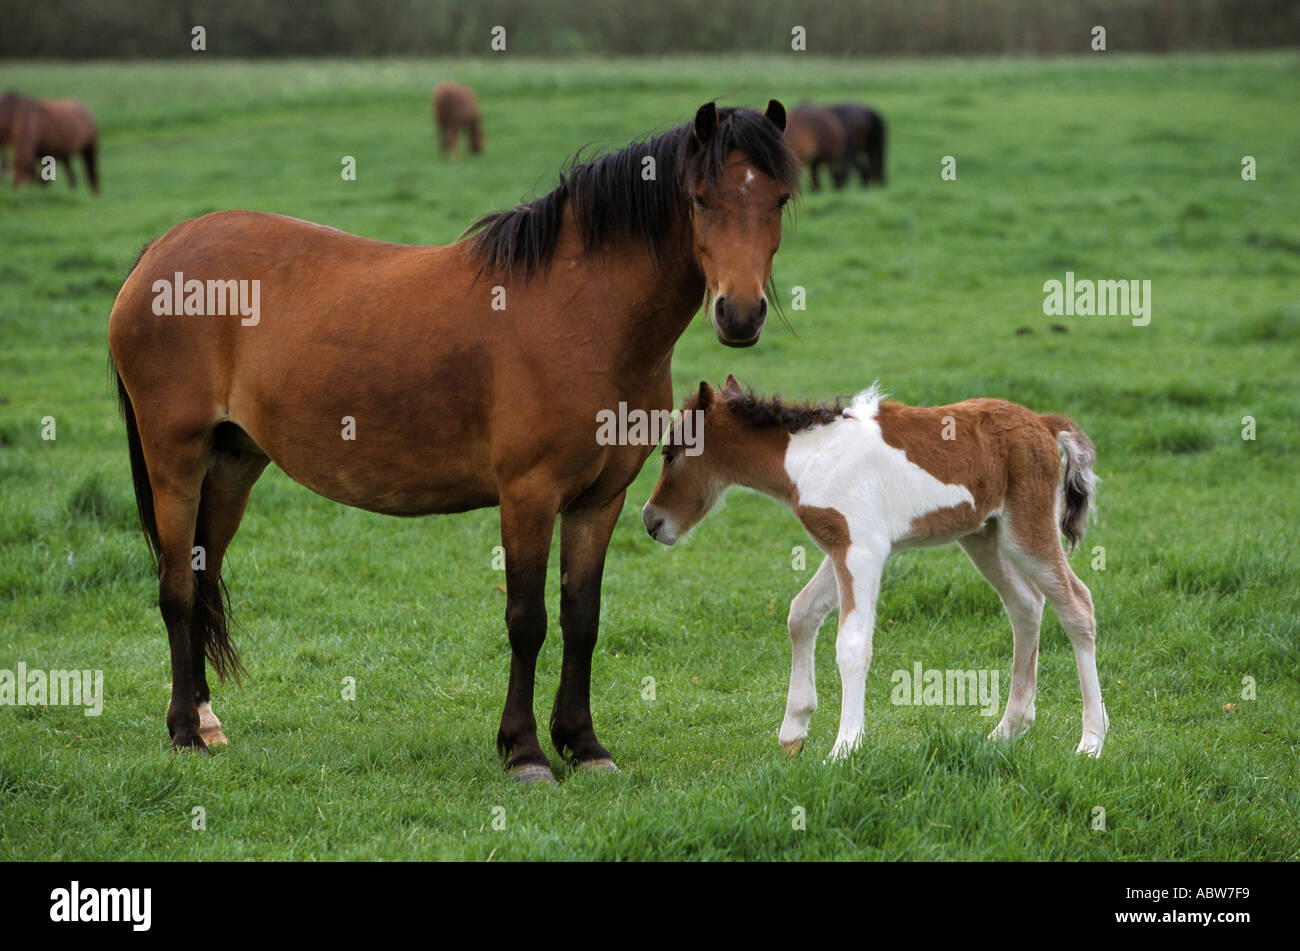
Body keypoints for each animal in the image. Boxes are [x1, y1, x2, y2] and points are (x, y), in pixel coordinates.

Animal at [108, 100, 799, 785]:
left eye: (781, 199)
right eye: (701, 199)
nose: (740, 314)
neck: (583, 314)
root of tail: (158, 253)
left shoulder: (599, 500)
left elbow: (582, 619)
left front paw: (584, 744)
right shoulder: (528, 495)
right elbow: (527, 621)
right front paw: (525, 752)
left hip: (232, 463)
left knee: (202, 578)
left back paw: (206, 721)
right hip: (177, 460)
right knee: (176, 587)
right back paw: (184, 734)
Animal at [642, 376, 1107, 760]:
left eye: (669, 454)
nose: (650, 521)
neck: (806, 459)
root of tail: (1043, 422)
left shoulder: (862, 550)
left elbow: (851, 645)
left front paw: (844, 748)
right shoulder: (841, 547)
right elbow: (801, 613)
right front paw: (794, 730)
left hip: (1025, 531)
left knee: (1077, 605)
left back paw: (1091, 741)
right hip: (982, 536)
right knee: (1025, 606)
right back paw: (1007, 731)